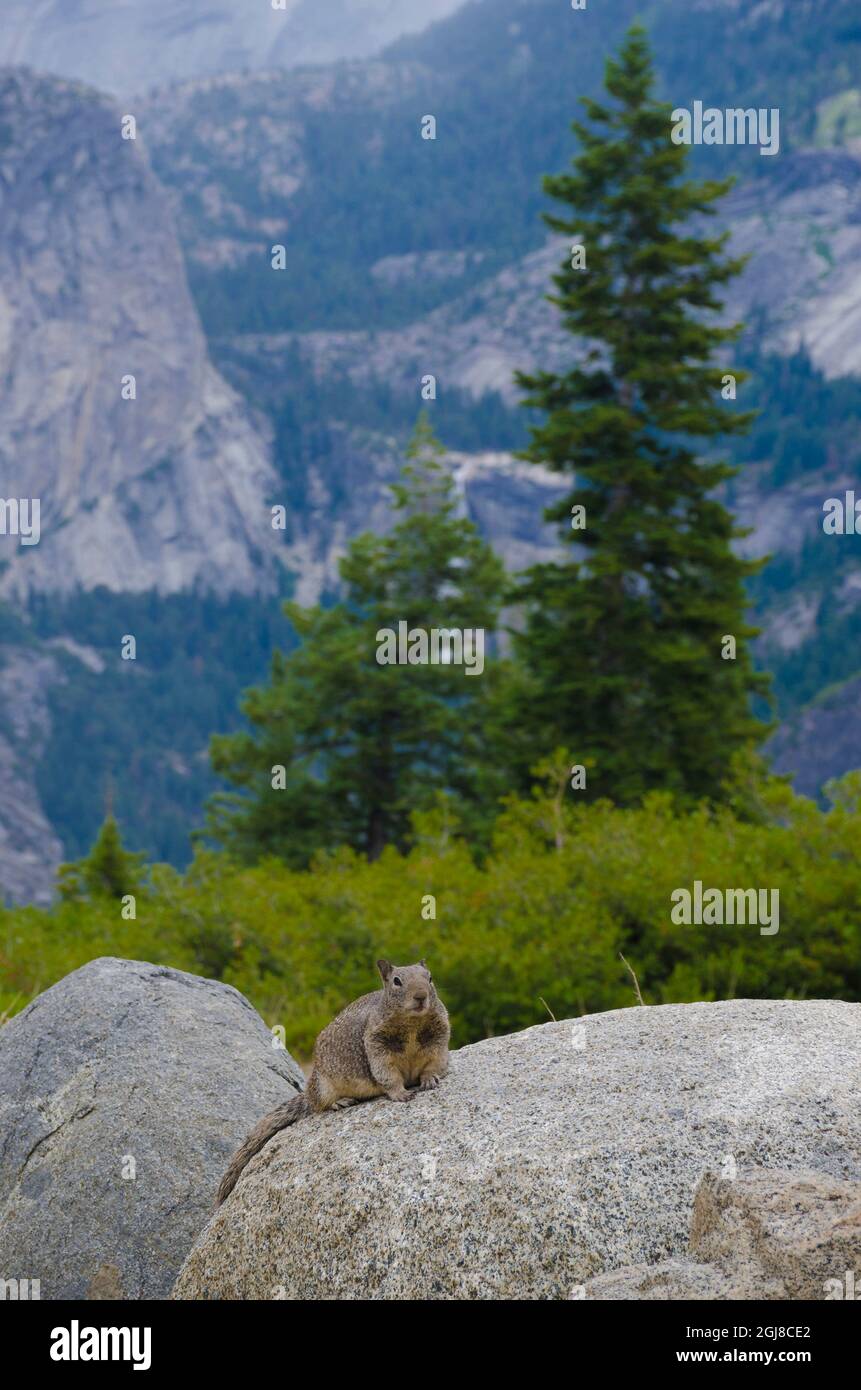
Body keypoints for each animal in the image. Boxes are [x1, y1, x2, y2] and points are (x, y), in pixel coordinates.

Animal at [216, 958, 449, 1205]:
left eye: (430, 977)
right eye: (397, 981)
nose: (421, 996)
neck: (413, 1024)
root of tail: (308, 1094)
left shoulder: (439, 1038)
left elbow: (434, 1063)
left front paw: (429, 1079)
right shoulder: (376, 1044)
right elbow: (387, 1074)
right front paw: (400, 1093)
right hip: (323, 1085)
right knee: (319, 1106)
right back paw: (340, 1102)